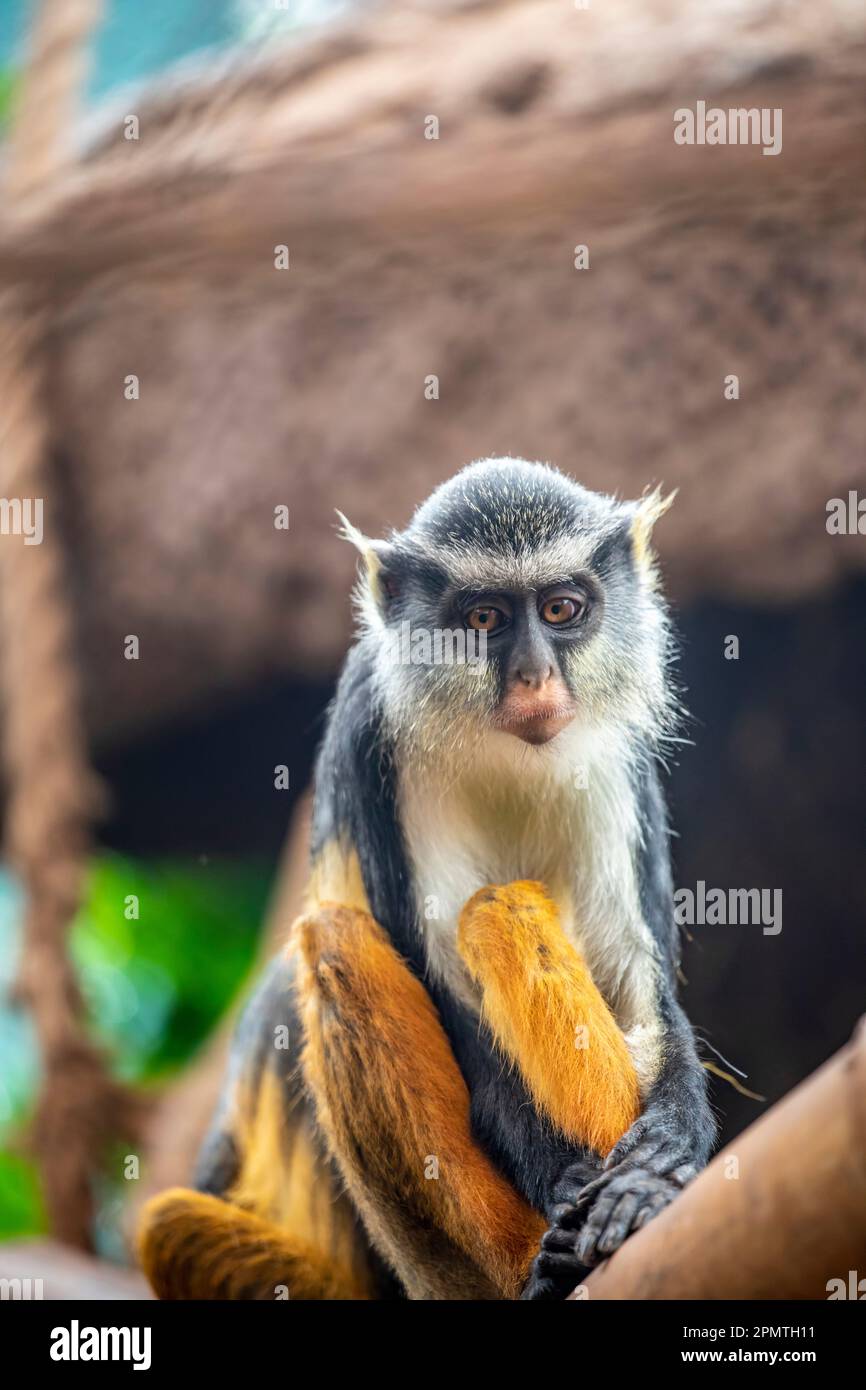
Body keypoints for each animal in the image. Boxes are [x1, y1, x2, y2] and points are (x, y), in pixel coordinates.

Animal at [139, 456, 715, 1301]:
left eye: (561, 608)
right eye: (483, 619)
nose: (536, 675)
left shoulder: (613, 760)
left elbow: (632, 981)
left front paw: (659, 1167)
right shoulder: (378, 735)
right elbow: (446, 985)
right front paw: (569, 1182)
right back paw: (544, 1262)